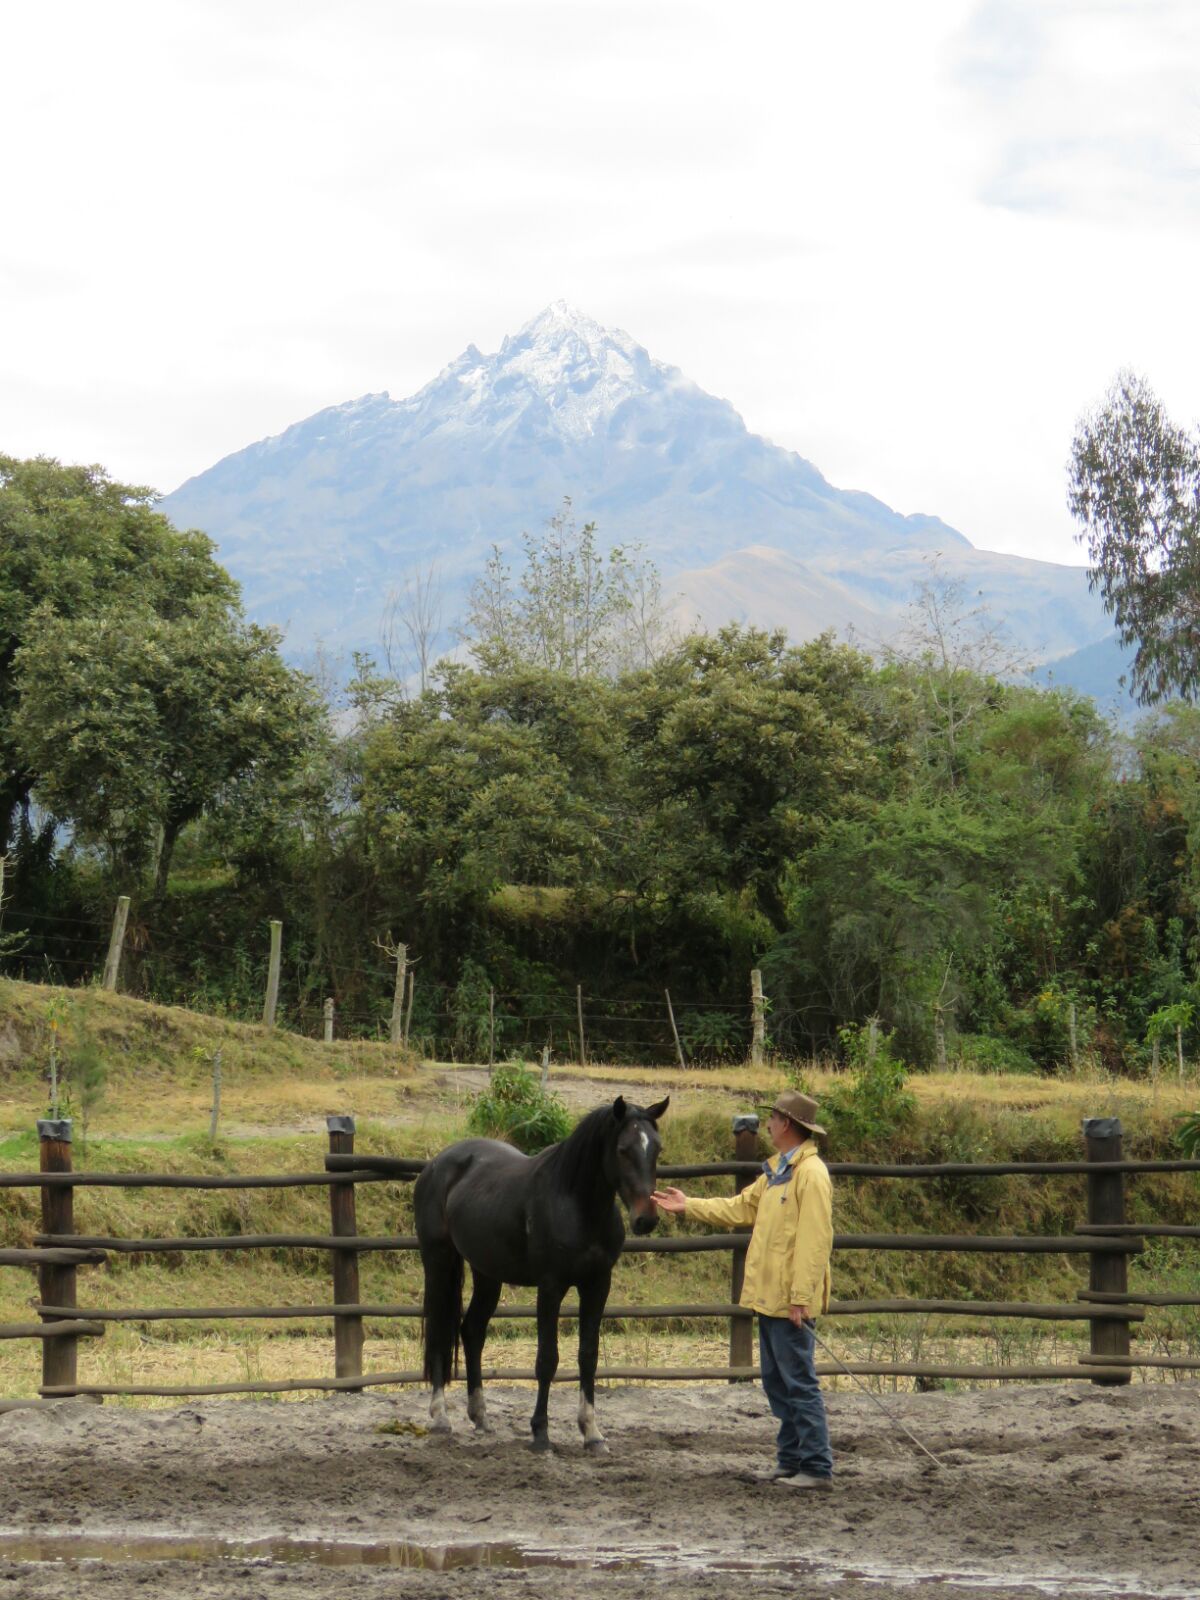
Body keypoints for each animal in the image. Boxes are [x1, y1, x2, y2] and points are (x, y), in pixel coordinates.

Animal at [414, 1094, 668, 1453]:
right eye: (623, 1150)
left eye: (656, 1148)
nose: (646, 1219)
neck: (577, 1205)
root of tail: (436, 1165)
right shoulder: (551, 1287)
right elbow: (547, 1359)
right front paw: (541, 1433)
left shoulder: (597, 1285)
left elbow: (588, 1356)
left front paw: (592, 1433)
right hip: (438, 1261)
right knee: (439, 1333)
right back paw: (440, 1417)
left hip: (487, 1272)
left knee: (472, 1331)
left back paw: (481, 1417)